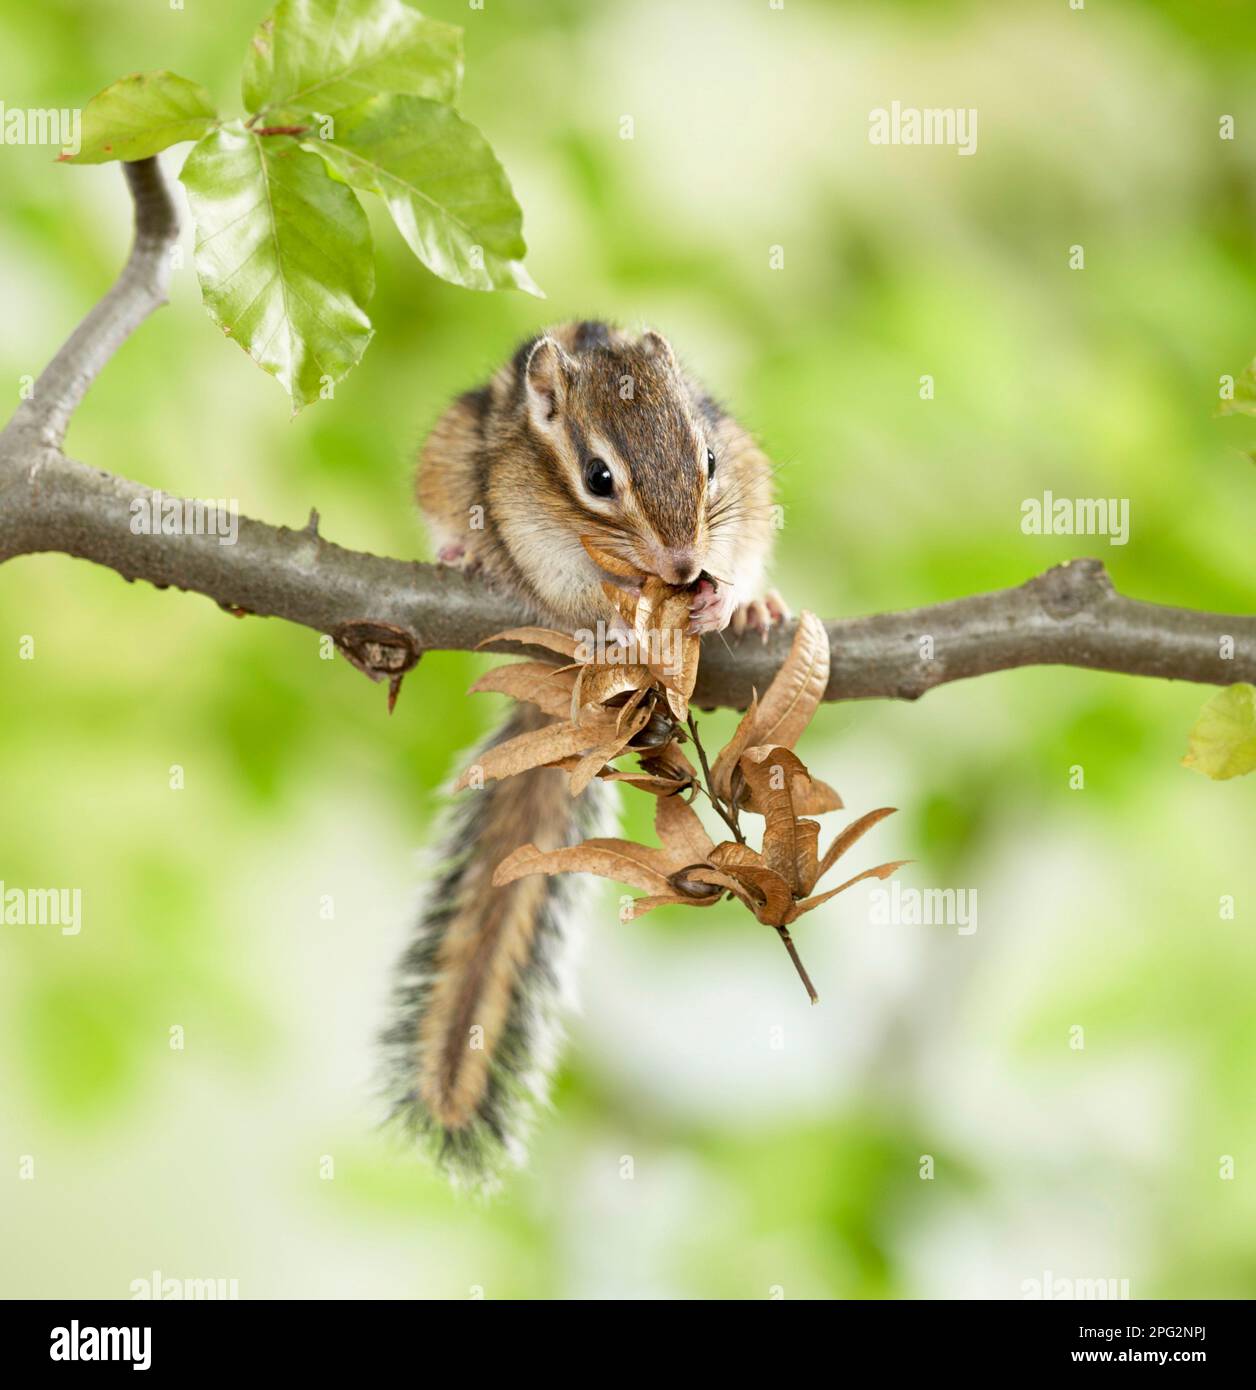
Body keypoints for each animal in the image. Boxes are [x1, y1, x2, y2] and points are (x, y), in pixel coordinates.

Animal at [384, 320, 785, 1186]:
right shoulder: (530, 524)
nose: (682, 566)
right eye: (599, 478)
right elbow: (567, 587)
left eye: (707, 458)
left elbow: (740, 546)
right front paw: (616, 613)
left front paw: (725, 600)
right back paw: (462, 553)